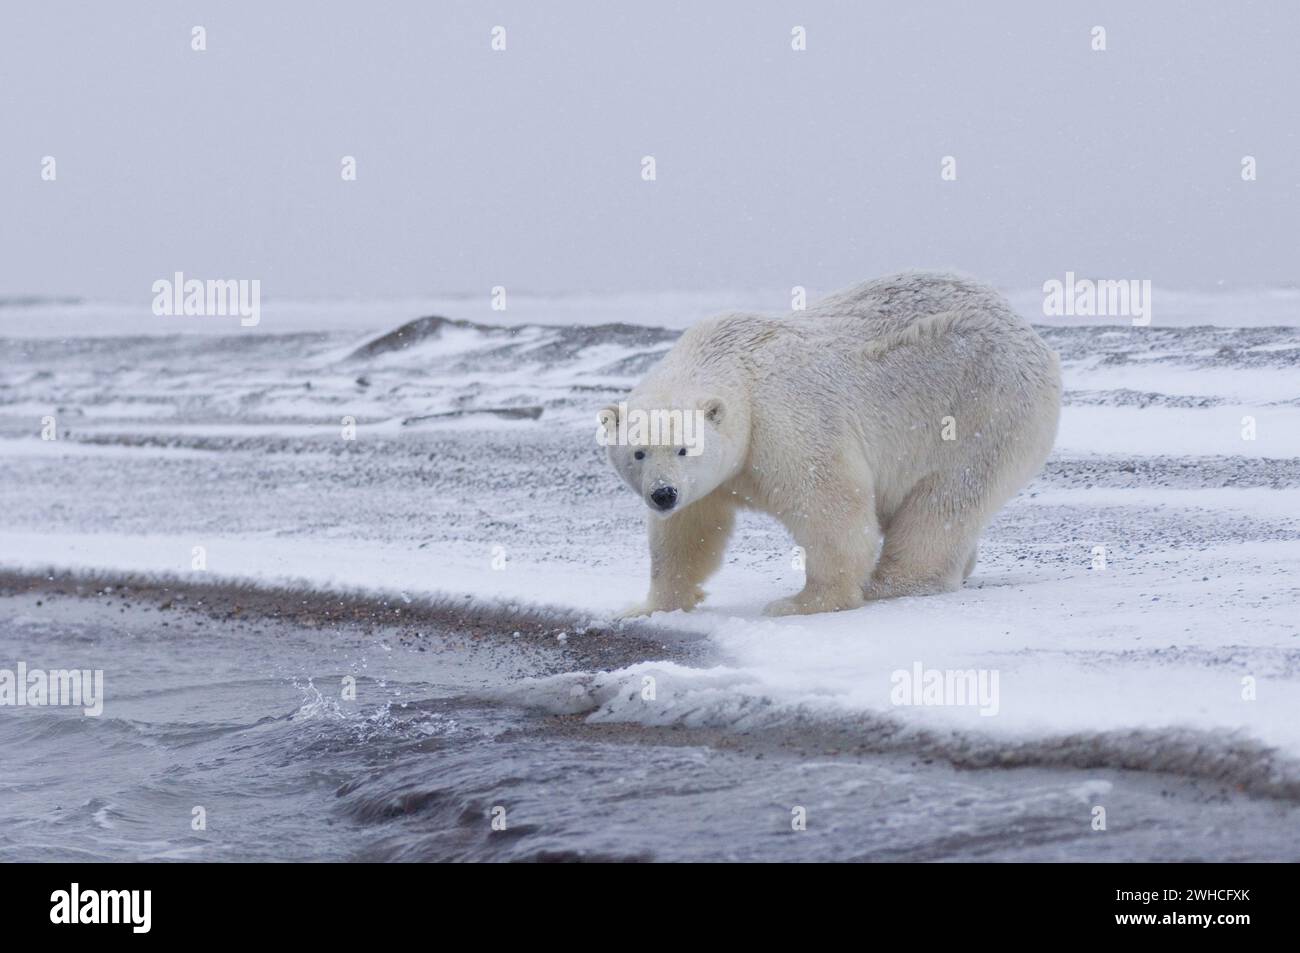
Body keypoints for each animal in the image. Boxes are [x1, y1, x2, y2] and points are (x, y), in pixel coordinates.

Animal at [600, 271, 1062, 617]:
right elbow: (686, 532)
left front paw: (802, 602)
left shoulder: (781, 420)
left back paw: (888, 582)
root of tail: (1030, 335)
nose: (663, 493)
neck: (732, 364)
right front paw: (647, 607)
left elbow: (829, 505)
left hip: (985, 409)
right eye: (639, 452)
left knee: (945, 500)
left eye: (684, 448)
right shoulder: (714, 476)